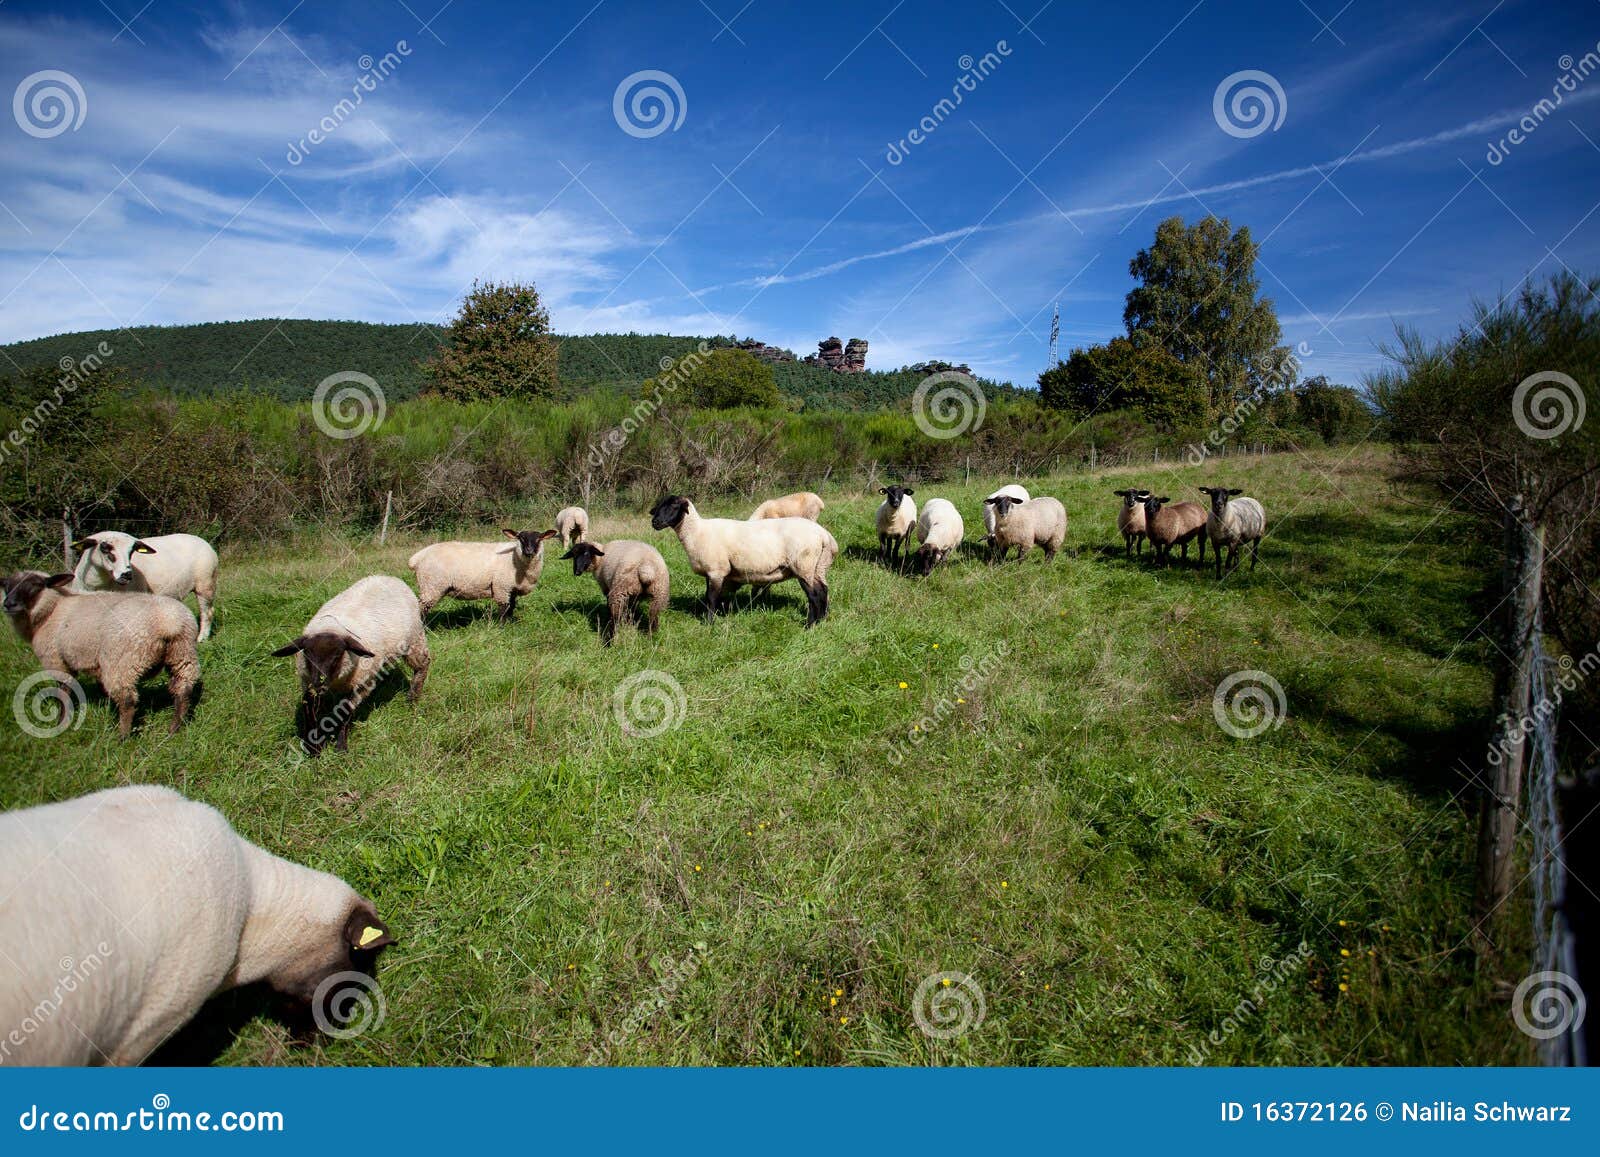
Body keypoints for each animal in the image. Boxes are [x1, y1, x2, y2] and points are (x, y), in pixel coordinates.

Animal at [2, 571, 199, 738]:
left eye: (35, 585)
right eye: (6, 585)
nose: (8, 604)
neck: (52, 609)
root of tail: (167, 622)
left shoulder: (55, 660)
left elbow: (63, 692)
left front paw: (61, 723)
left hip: (121, 662)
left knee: (127, 701)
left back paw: (123, 737)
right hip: (182, 654)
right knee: (183, 689)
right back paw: (174, 729)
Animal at [70, 530, 219, 642]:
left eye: (132, 551)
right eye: (104, 548)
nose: (127, 574)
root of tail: (201, 540)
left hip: (206, 583)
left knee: (207, 612)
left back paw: (202, 638)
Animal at [271, 575, 430, 755]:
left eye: (337, 655)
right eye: (307, 654)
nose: (319, 682)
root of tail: (388, 576)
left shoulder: (360, 685)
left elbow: (345, 713)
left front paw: (340, 748)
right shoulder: (307, 683)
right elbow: (309, 711)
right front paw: (313, 748)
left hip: (414, 641)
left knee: (423, 664)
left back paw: (413, 697)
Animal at [408, 528, 558, 622]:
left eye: (539, 539)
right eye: (521, 538)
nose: (528, 551)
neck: (514, 559)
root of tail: (417, 557)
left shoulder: (512, 588)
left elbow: (511, 606)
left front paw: (510, 623)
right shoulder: (501, 586)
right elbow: (504, 607)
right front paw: (502, 626)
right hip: (431, 586)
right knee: (421, 610)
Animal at [650, 495, 838, 627]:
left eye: (674, 506)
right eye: (658, 506)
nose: (655, 522)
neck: (696, 532)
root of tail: (824, 535)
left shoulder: (716, 570)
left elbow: (711, 598)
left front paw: (709, 623)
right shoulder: (710, 573)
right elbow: (710, 596)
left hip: (803, 565)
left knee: (813, 595)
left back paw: (809, 625)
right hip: (818, 566)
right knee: (823, 590)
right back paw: (822, 619)